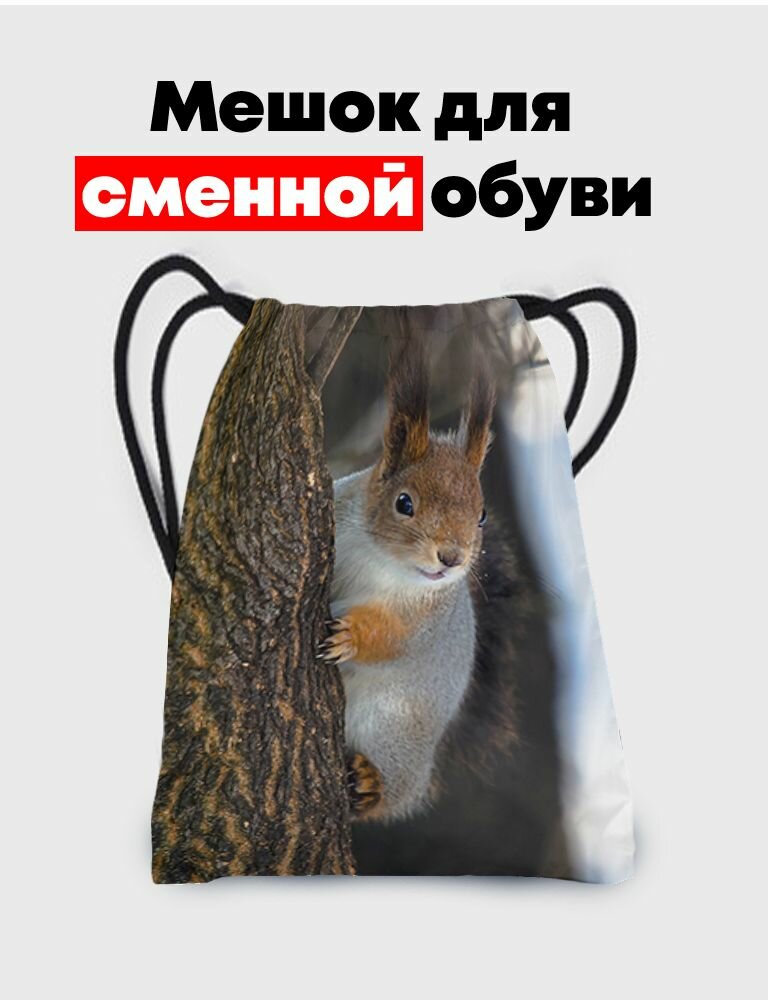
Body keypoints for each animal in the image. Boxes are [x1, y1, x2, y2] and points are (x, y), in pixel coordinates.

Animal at [320, 334, 496, 822]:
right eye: (404, 503)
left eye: (481, 515)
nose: (451, 558)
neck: (383, 560)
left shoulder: (424, 618)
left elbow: (391, 637)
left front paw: (349, 637)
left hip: (394, 733)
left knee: (389, 796)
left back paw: (370, 784)